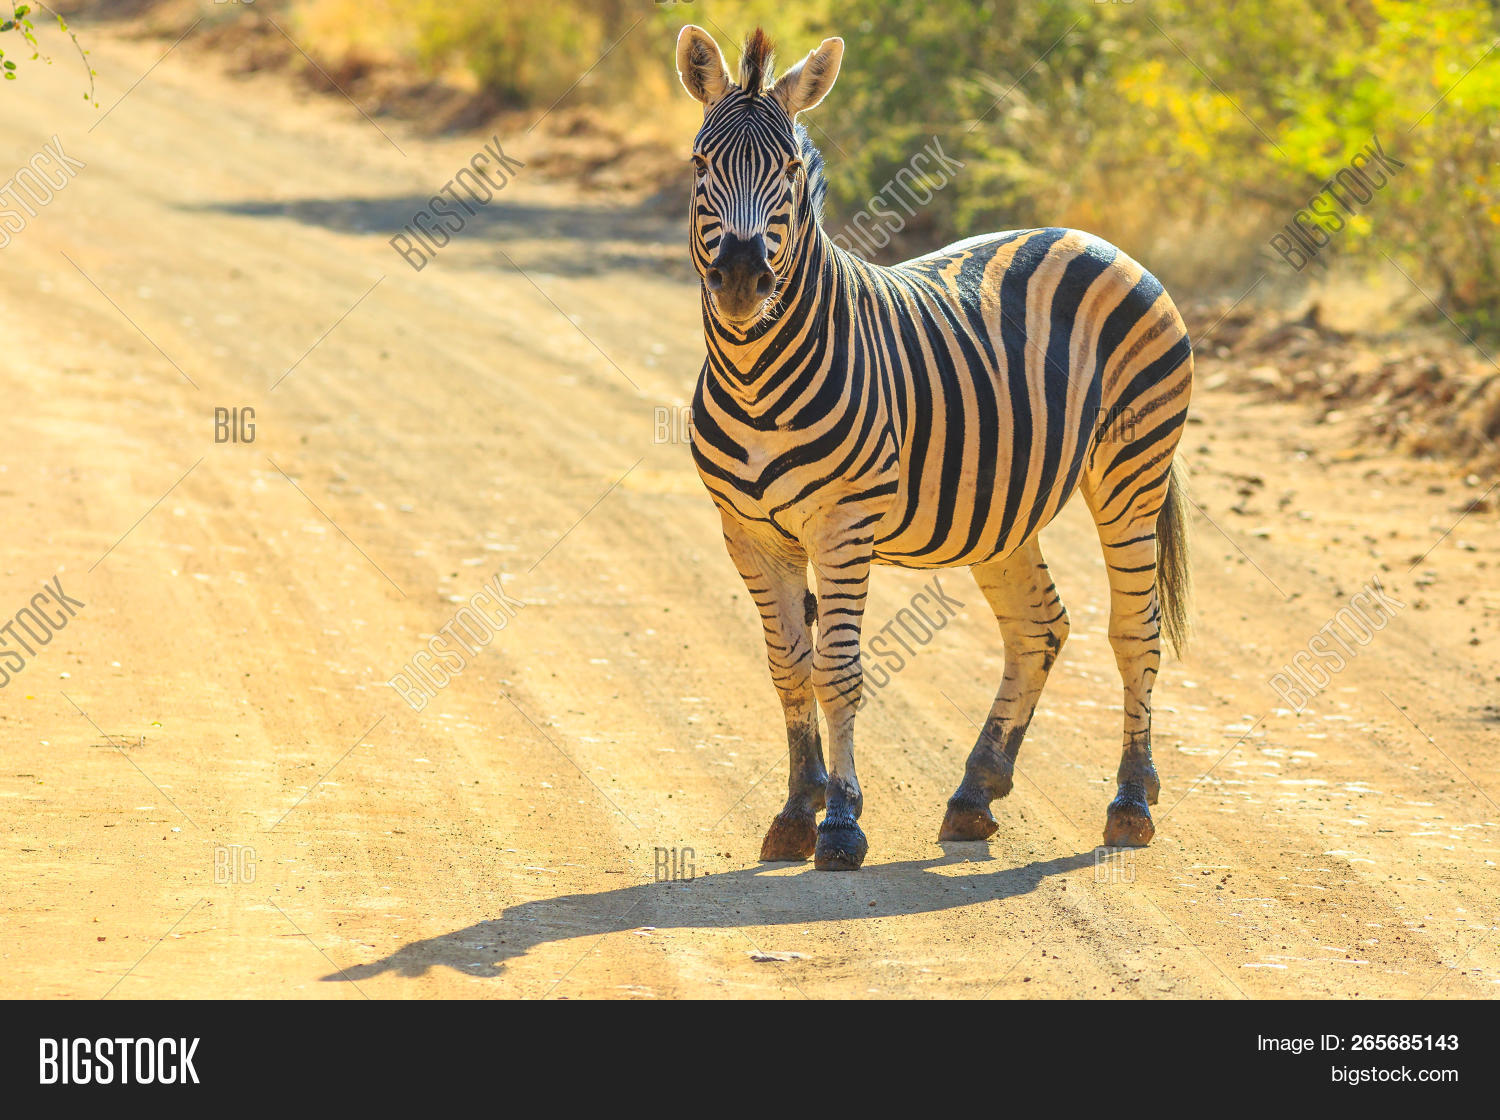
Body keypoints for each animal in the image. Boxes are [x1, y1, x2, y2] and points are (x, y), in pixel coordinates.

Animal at [676, 26, 1194, 871]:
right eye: (698, 164)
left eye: (789, 171)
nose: (744, 280)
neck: (756, 375)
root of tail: (1092, 237)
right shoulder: (749, 534)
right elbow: (788, 669)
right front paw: (795, 812)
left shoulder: (843, 527)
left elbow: (837, 671)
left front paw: (841, 823)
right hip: (1006, 511)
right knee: (1039, 628)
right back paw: (975, 793)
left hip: (1131, 472)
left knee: (1134, 630)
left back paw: (1129, 801)